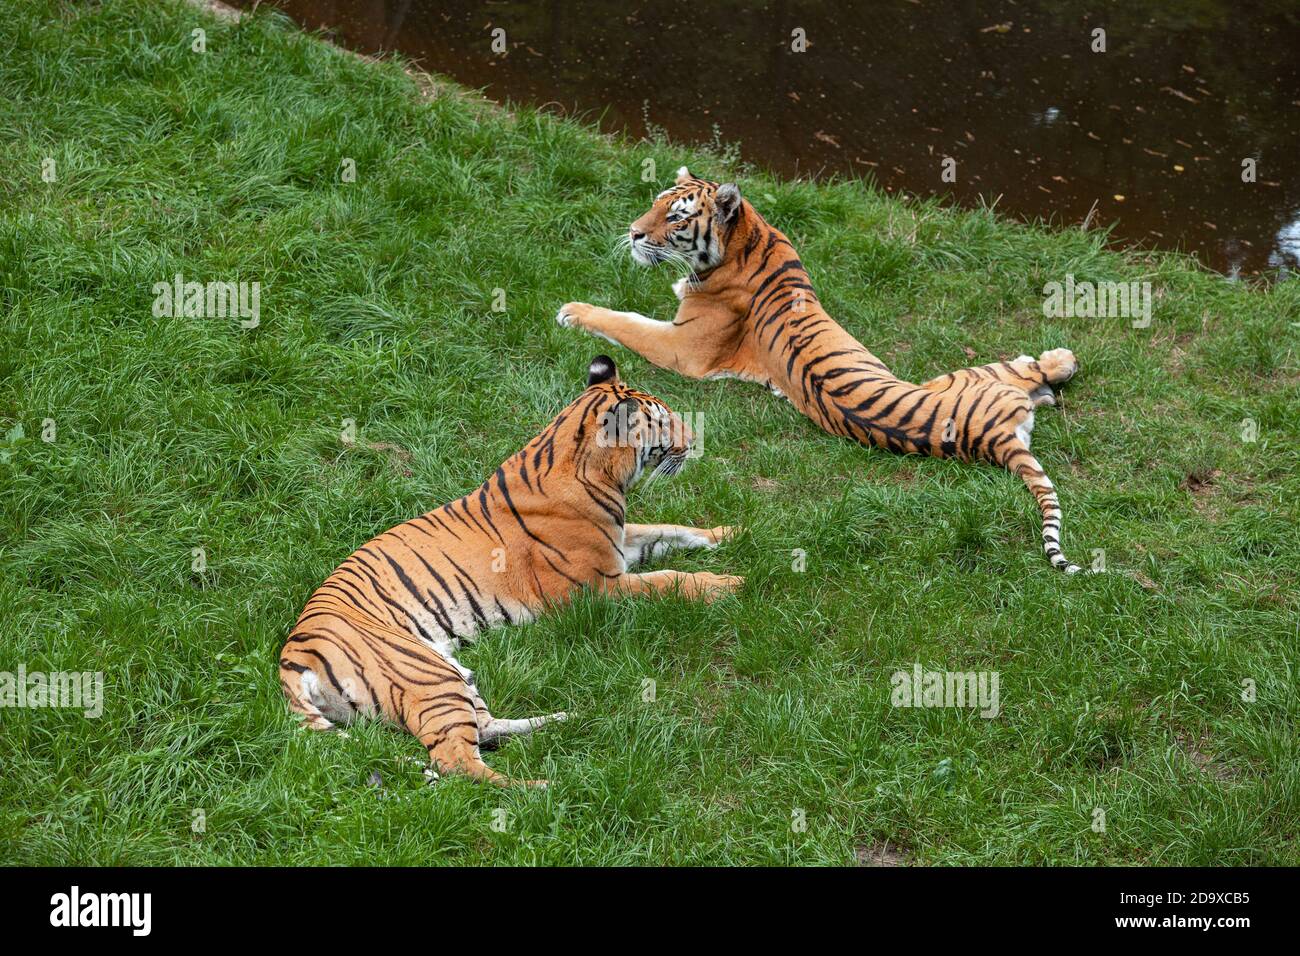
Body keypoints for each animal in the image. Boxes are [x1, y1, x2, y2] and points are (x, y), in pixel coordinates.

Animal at [280, 355, 741, 787]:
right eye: (664, 422)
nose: (694, 440)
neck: (599, 472)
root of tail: (291, 658)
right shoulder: (597, 587)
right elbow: (669, 579)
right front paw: (730, 583)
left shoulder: (622, 545)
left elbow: (673, 529)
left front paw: (735, 532)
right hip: (427, 674)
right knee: (457, 762)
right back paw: (543, 787)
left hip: (451, 670)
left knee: (484, 730)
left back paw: (565, 719)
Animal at [557, 167, 1084, 573]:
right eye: (655, 203)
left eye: (676, 216)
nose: (633, 233)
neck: (751, 237)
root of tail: (996, 436)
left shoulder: (682, 347)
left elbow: (625, 320)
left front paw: (570, 310)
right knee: (1033, 383)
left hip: (959, 377)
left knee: (1027, 371)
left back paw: (1063, 357)